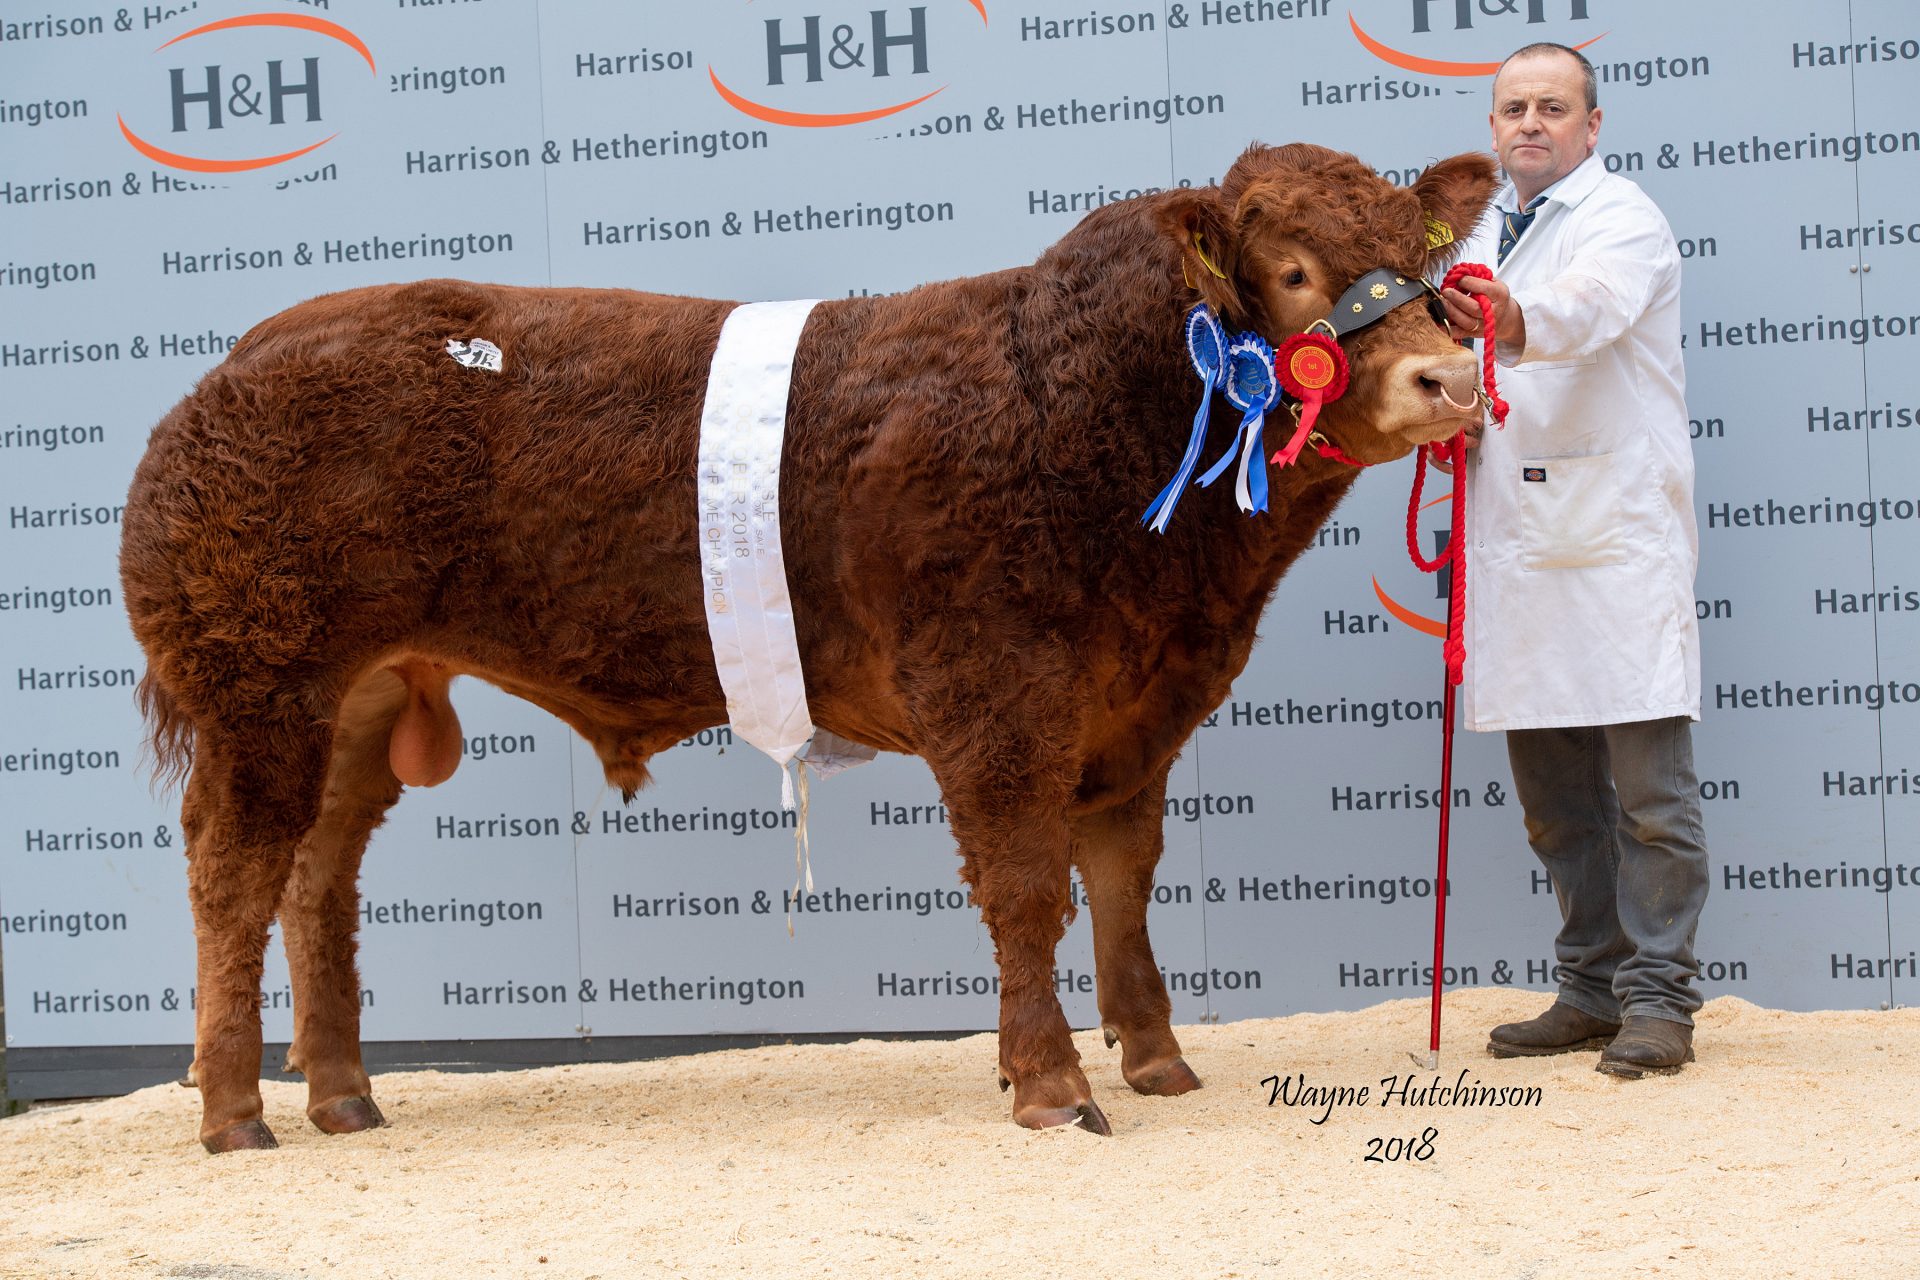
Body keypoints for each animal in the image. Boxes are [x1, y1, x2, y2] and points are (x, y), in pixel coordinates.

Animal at [120, 142, 1498, 1152]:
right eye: (1295, 269)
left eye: (1422, 259)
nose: (1448, 378)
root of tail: (239, 363)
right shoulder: (993, 689)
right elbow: (1024, 884)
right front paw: (1054, 1086)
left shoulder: (1137, 705)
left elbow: (1120, 878)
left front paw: (1157, 1057)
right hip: (259, 684)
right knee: (233, 872)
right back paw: (235, 1112)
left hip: (355, 700)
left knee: (318, 876)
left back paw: (342, 1094)